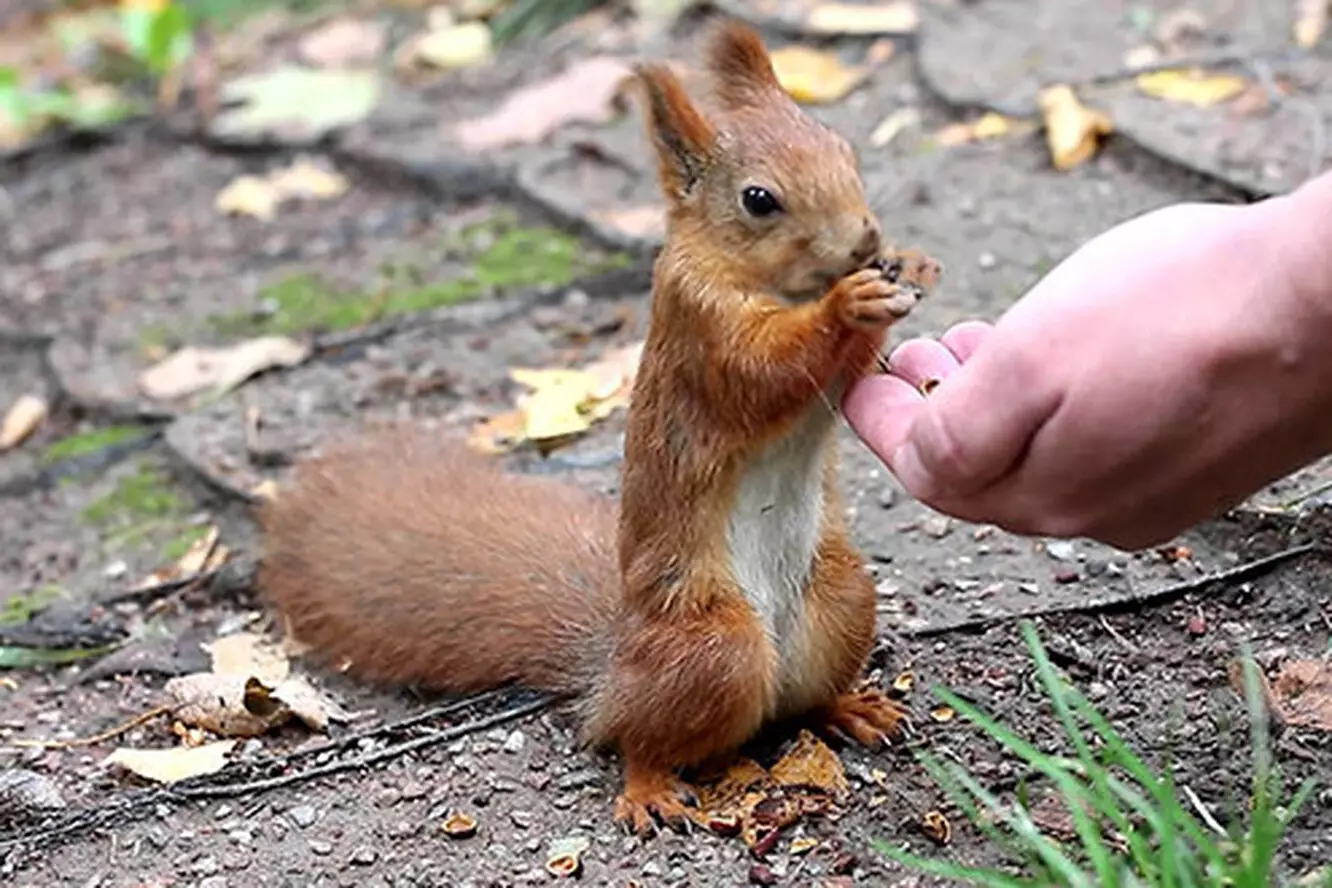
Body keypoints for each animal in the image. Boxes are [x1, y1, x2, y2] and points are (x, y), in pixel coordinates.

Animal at [257, 22, 937, 841]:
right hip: (712, 646)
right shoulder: (699, 326)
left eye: (844, 150)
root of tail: (614, 667)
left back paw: (852, 707)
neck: (769, 283)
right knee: (636, 737)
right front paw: (850, 302)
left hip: (840, 599)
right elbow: (761, 371)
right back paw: (648, 787)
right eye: (759, 200)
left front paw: (907, 266)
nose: (866, 239)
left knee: (797, 703)